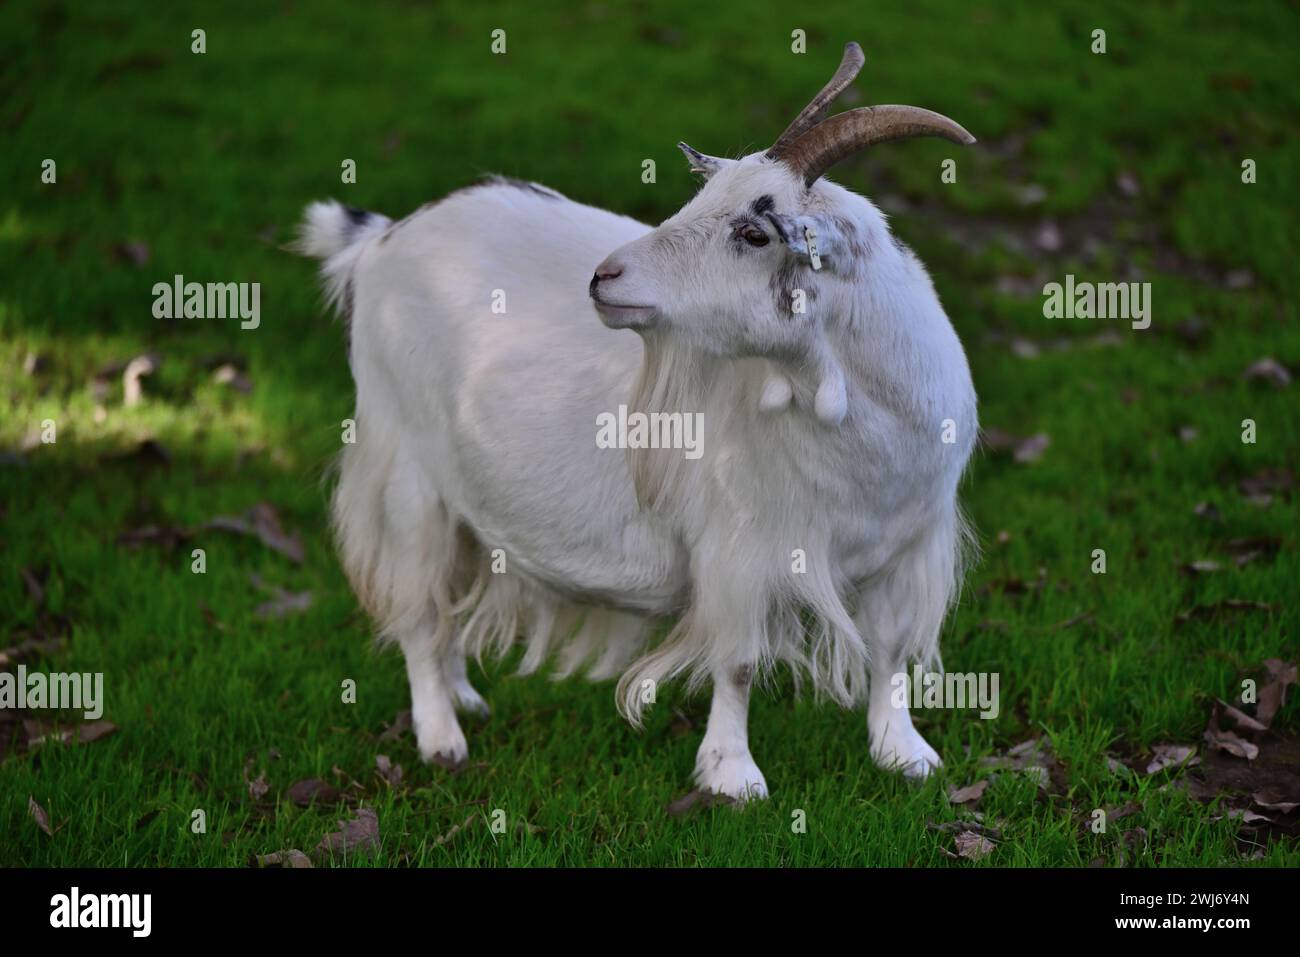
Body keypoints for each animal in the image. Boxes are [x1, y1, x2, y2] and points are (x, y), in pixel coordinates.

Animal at [297, 42, 978, 800]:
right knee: (418, 612)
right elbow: (738, 661)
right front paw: (733, 777)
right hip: (406, 473)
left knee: (444, 600)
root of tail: (381, 241)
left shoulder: (909, 546)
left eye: (753, 231)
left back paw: (465, 696)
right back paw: (442, 737)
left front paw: (905, 755)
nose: (605, 277)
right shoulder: (740, 548)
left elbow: (890, 653)